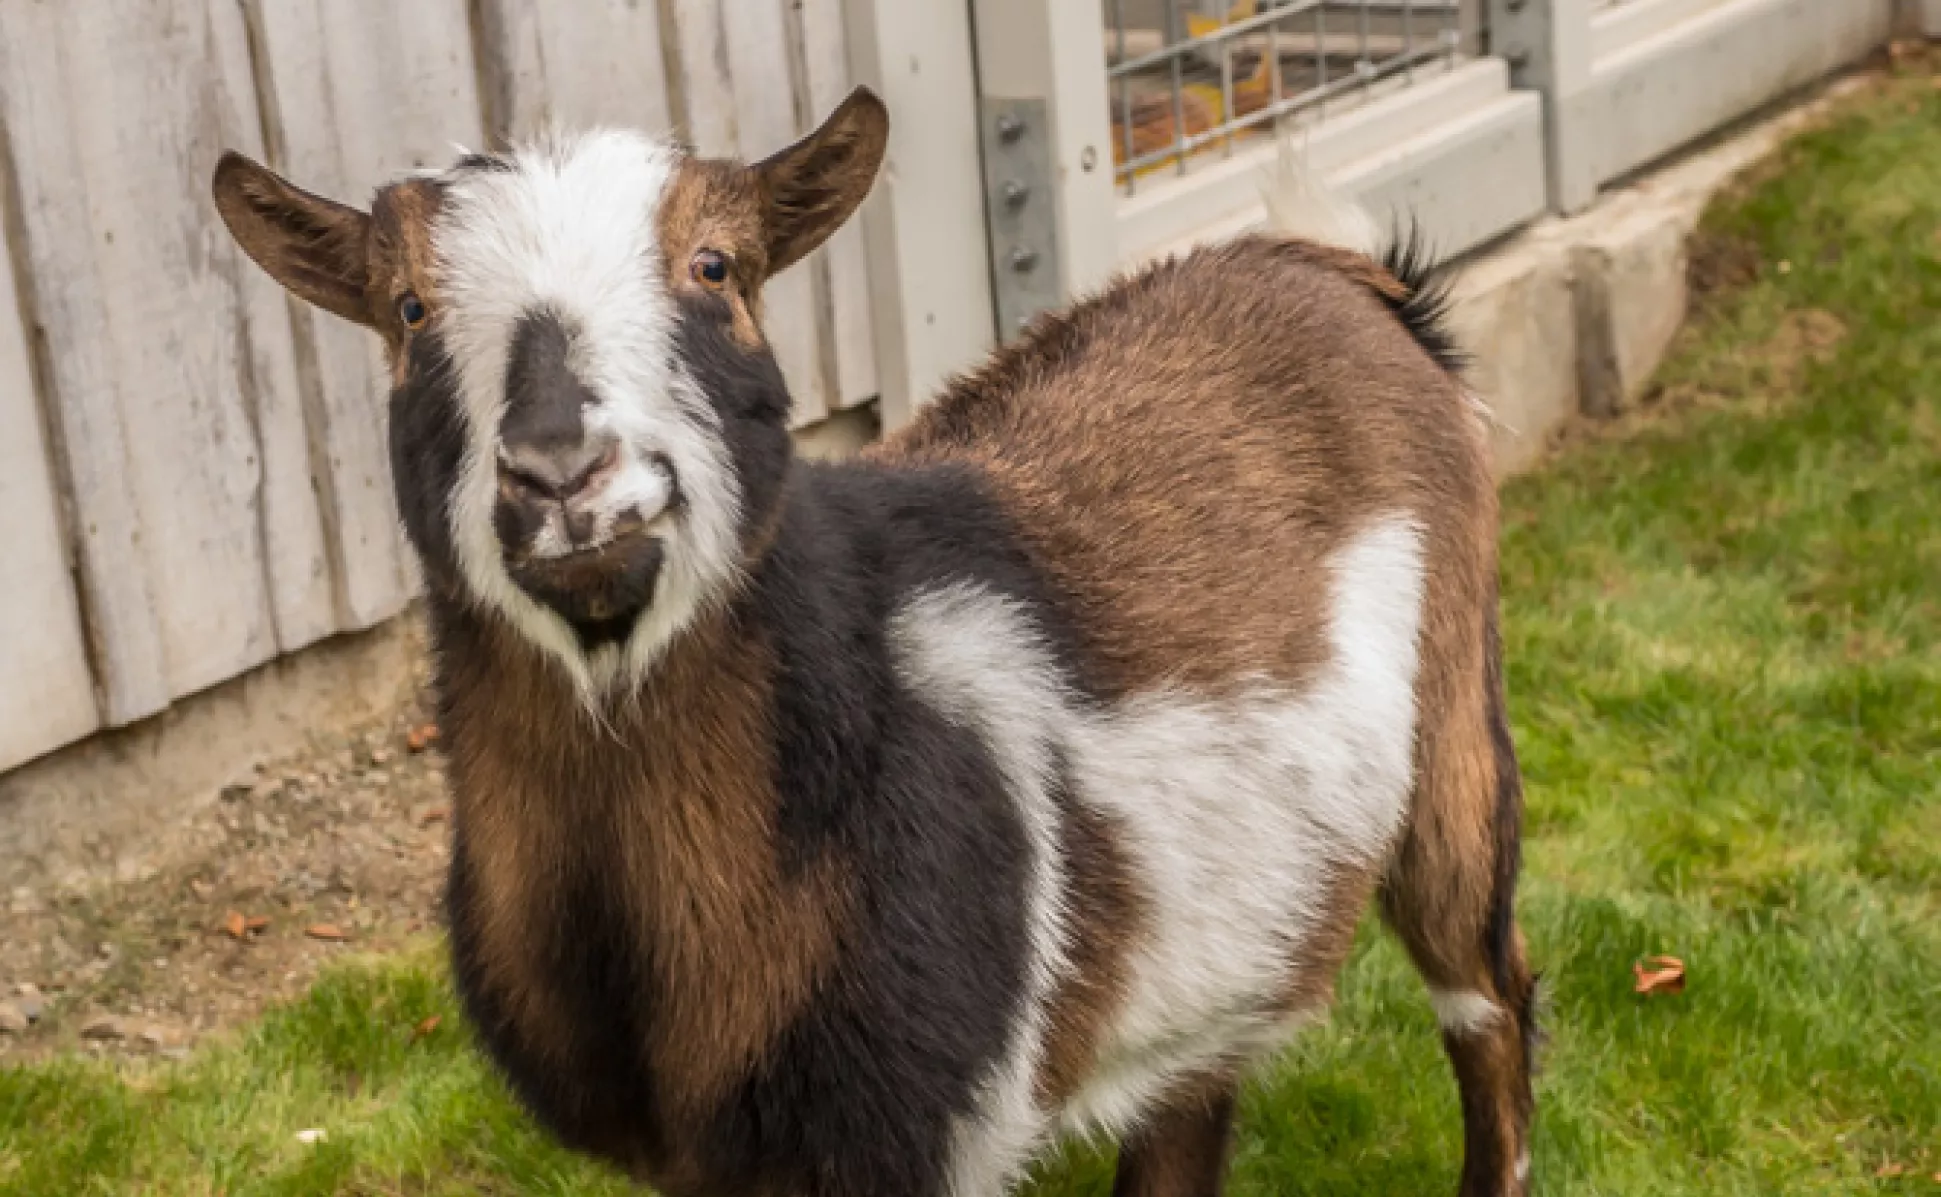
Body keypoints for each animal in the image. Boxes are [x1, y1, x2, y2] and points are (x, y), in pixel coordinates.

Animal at [211, 87, 1536, 1197]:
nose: (561, 474)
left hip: (1456, 724)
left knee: (1491, 994)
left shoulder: (919, 1131)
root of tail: (1337, 271)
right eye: (406, 309)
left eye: (717, 267)